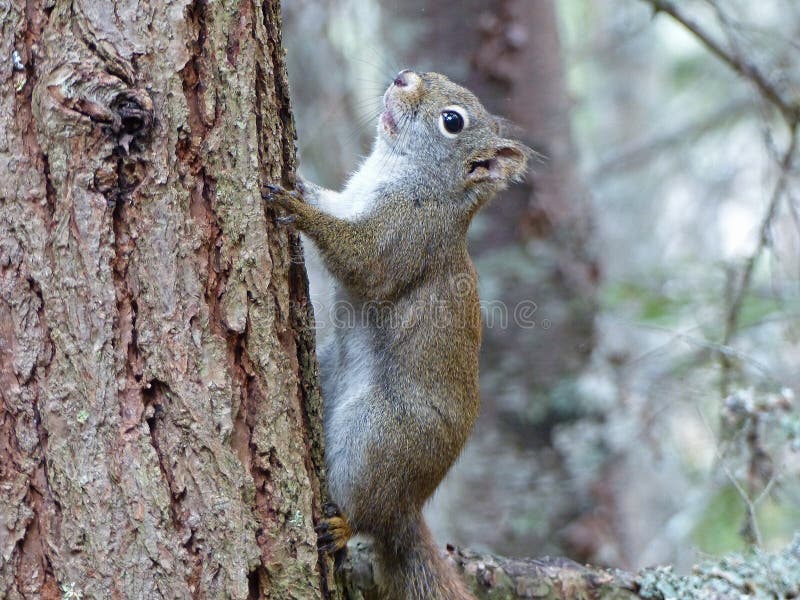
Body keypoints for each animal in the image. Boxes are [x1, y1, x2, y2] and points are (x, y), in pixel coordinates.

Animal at [265, 69, 529, 600]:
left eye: (453, 121)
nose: (403, 76)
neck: (395, 170)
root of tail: (407, 508)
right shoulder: (350, 198)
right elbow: (330, 200)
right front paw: (299, 182)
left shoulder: (406, 237)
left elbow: (362, 260)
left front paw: (295, 209)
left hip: (379, 437)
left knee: (367, 511)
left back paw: (343, 524)